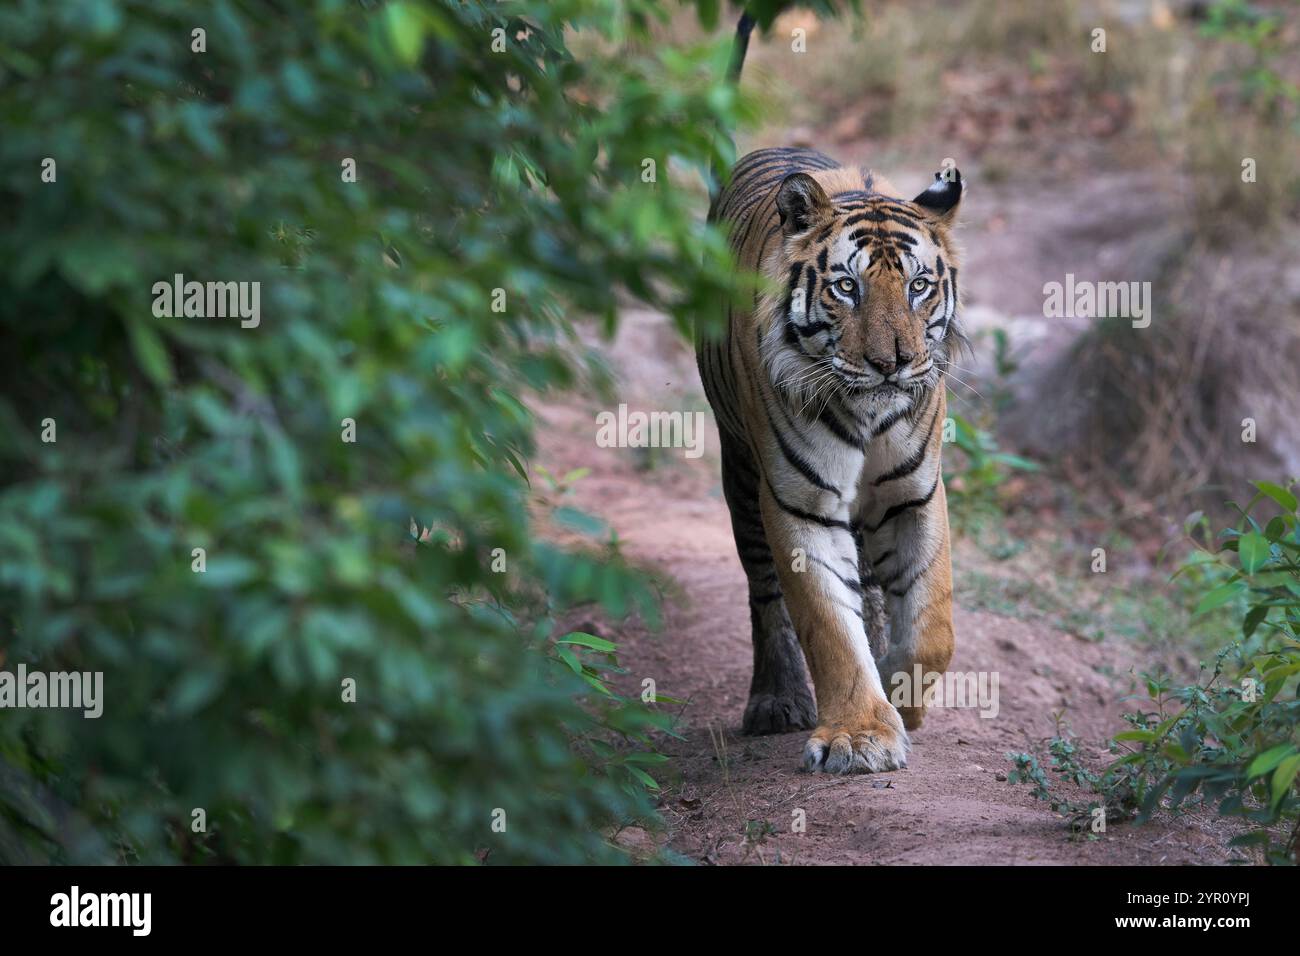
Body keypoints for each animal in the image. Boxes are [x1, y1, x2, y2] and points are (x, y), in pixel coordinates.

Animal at [696, 144, 964, 774]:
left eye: (919, 286)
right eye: (846, 287)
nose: (893, 363)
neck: (868, 416)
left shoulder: (914, 493)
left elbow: (932, 626)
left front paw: (901, 696)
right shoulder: (800, 503)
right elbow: (828, 625)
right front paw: (859, 736)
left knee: (871, 589)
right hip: (740, 472)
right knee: (765, 594)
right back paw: (776, 700)